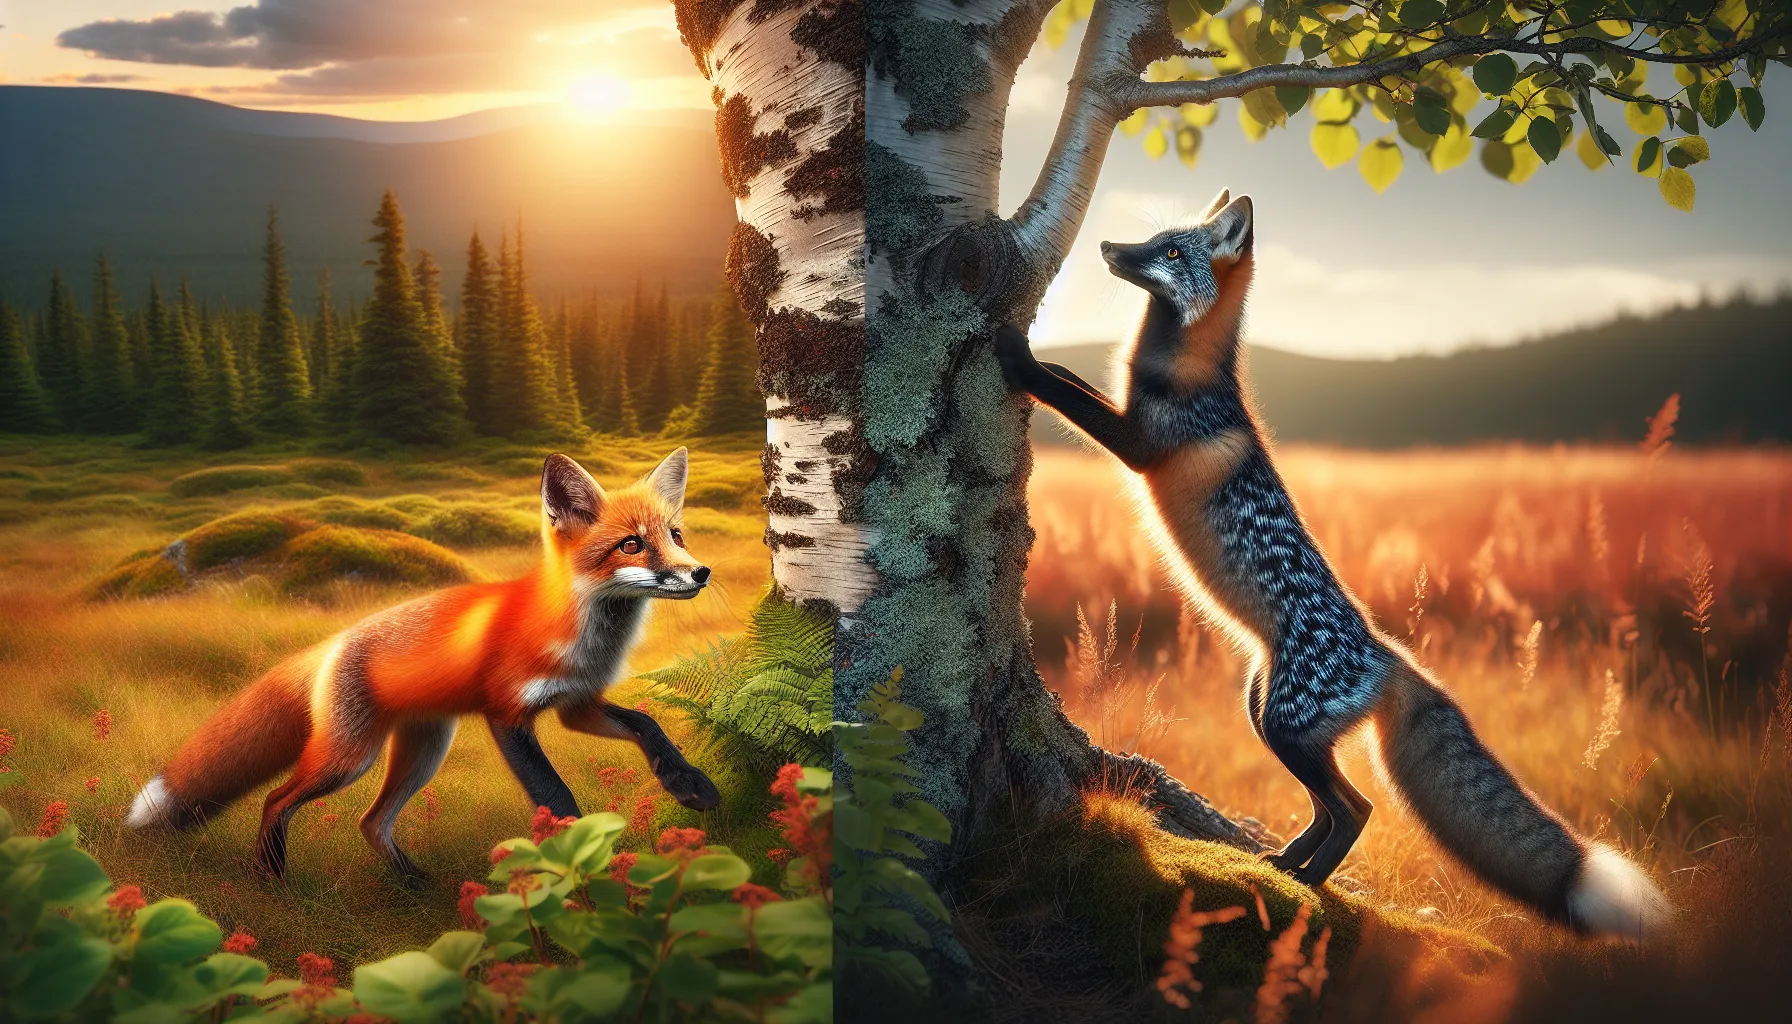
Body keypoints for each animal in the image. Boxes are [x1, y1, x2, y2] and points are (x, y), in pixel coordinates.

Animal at [125, 448, 722, 885]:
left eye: (675, 536)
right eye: (631, 545)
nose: (701, 573)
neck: (580, 636)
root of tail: (333, 641)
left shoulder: (576, 705)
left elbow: (647, 724)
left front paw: (688, 782)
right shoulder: (507, 714)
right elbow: (556, 796)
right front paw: (584, 867)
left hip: (423, 752)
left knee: (371, 822)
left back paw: (412, 882)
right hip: (348, 760)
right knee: (277, 799)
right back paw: (272, 876)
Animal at [994, 190, 1671, 940]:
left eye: (1170, 251)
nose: (1109, 247)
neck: (1182, 370)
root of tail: (1388, 655)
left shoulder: (1137, 438)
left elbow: (1064, 389)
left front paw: (1014, 347)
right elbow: (1071, 380)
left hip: (1287, 727)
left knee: (1357, 808)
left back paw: (1310, 885)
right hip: (1265, 714)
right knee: (1332, 805)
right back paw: (1286, 864)